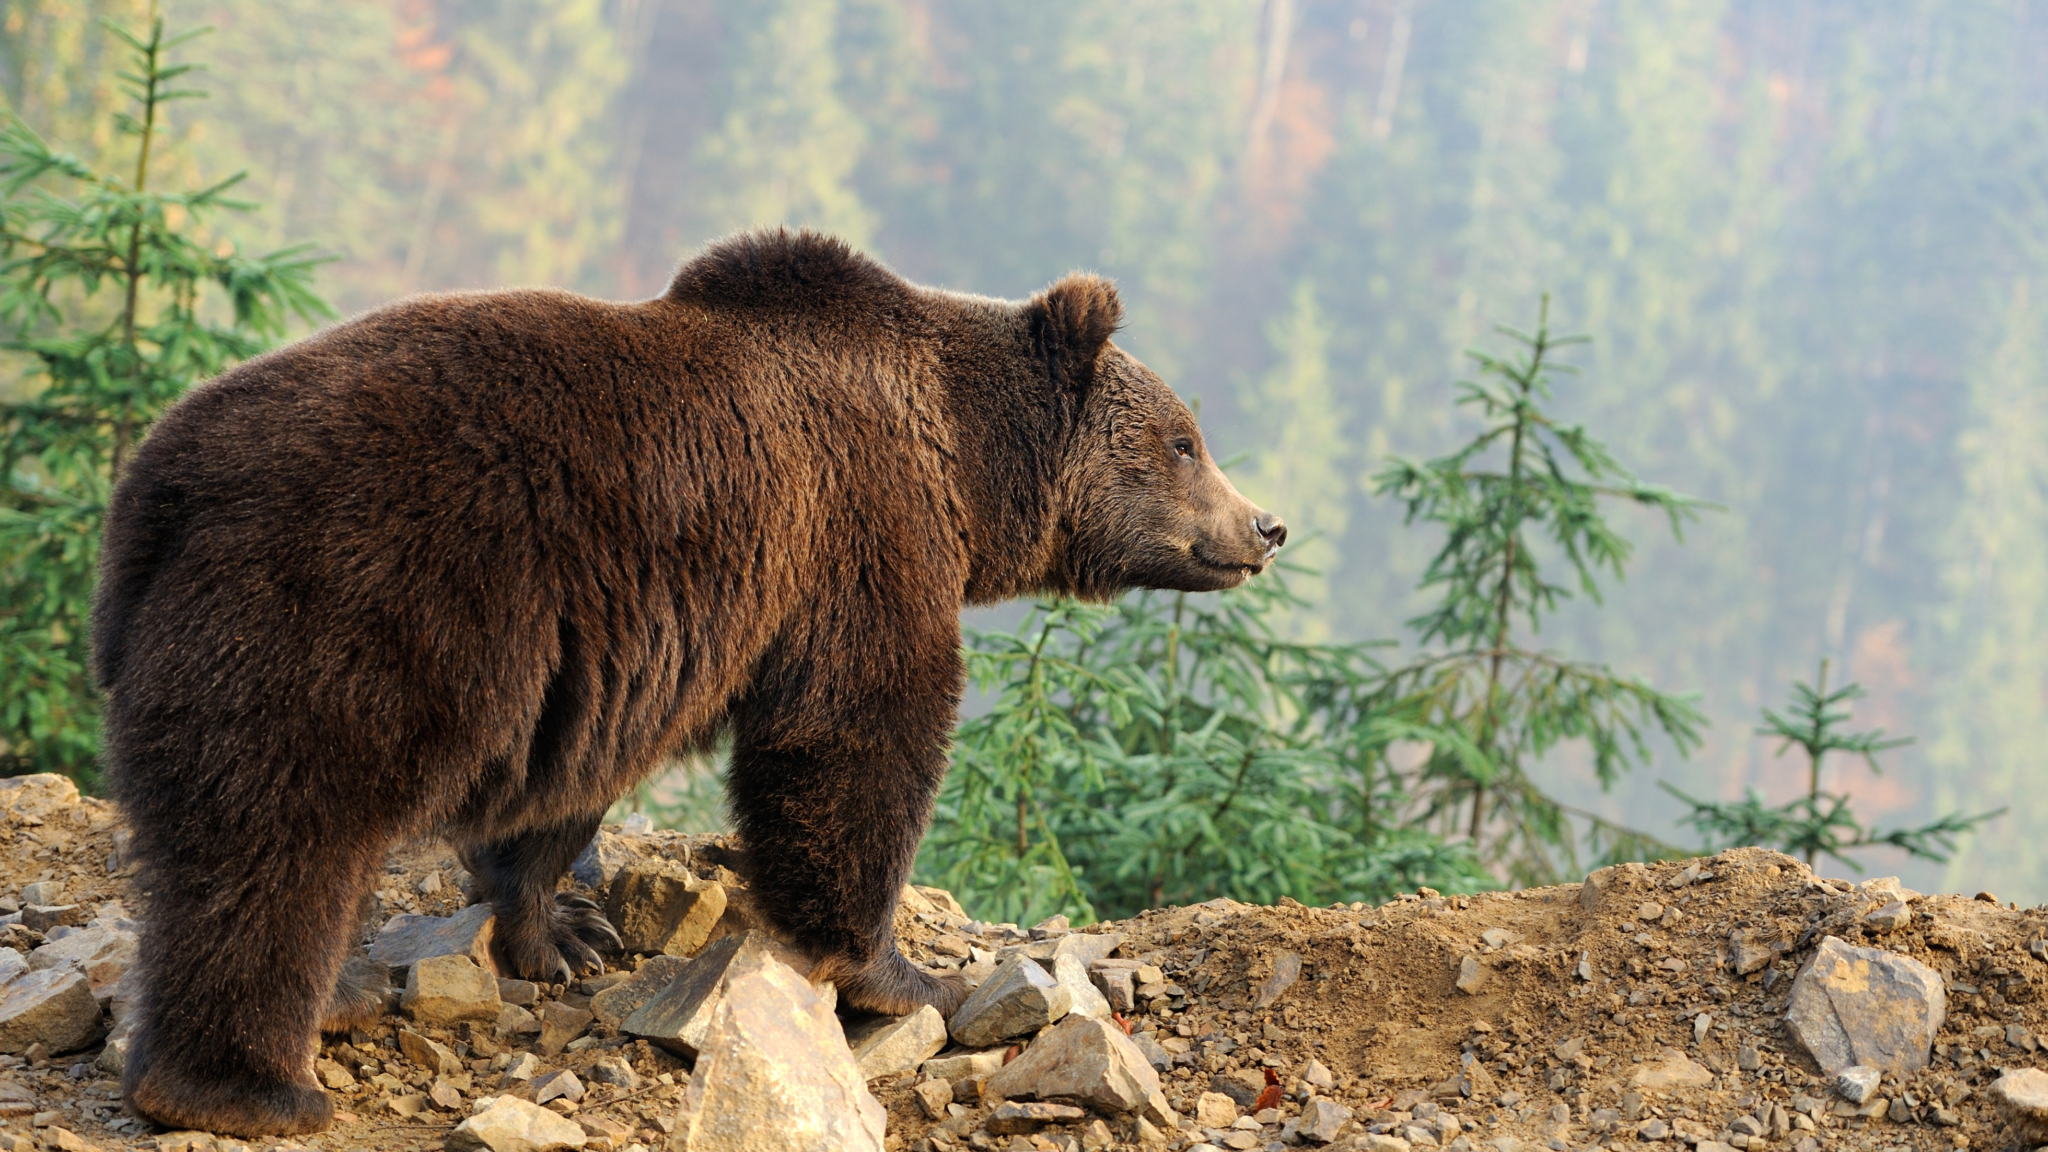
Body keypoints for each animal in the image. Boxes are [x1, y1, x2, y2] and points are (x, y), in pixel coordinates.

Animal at [93, 228, 1285, 1137]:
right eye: (1183, 440)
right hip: (347, 610)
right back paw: (250, 1085)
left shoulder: (614, 646)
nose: (1265, 527)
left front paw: (562, 931)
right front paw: (902, 973)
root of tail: (159, 484)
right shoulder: (854, 535)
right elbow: (856, 737)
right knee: (278, 843)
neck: (963, 465)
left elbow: (568, 789)